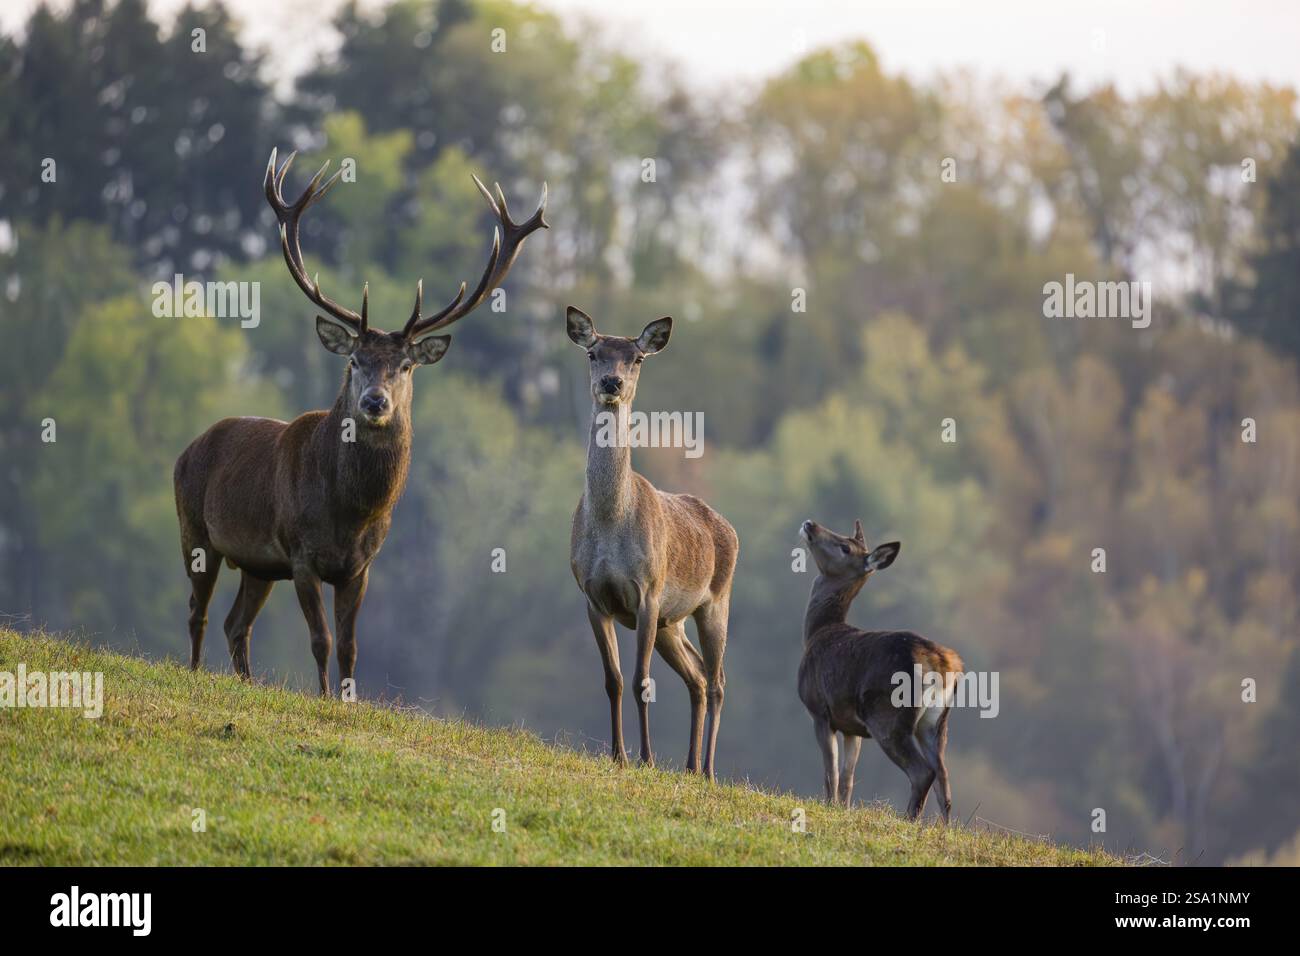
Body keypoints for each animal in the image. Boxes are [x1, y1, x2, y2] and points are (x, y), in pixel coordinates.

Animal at [173, 148, 546, 695]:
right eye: (354, 360)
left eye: (406, 366)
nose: (375, 402)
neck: (350, 512)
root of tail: (187, 448)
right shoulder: (301, 554)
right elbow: (322, 640)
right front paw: (325, 697)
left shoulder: (360, 566)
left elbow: (350, 645)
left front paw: (348, 700)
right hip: (195, 529)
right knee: (198, 612)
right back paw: (196, 672)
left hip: (258, 565)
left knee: (235, 623)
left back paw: (245, 680)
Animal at [566, 307, 739, 781]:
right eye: (593, 352)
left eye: (637, 358)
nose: (612, 383)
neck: (611, 523)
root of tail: (730, 529)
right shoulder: (592, 596)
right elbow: (614, 679)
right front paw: (618, 754)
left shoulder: (648, 591)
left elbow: (642, 681)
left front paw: (645, 758)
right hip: (671, 623)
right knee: (697, 676)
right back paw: (690, 766)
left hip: (714, 602)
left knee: (718, 680)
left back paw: (710, 770)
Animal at [797, 519, 963, 822]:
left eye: (845, 547)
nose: (810, 524)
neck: (817, 632)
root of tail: (943, 664)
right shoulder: (851, 726)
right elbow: (848, 777)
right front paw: (843, 808)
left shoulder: (820, 709)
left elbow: (831, 772)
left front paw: (829, 806)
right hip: (935, 722)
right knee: (944, 779)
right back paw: (943, 828)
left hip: (888, 716)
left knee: (923, 772)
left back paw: (910, 820)